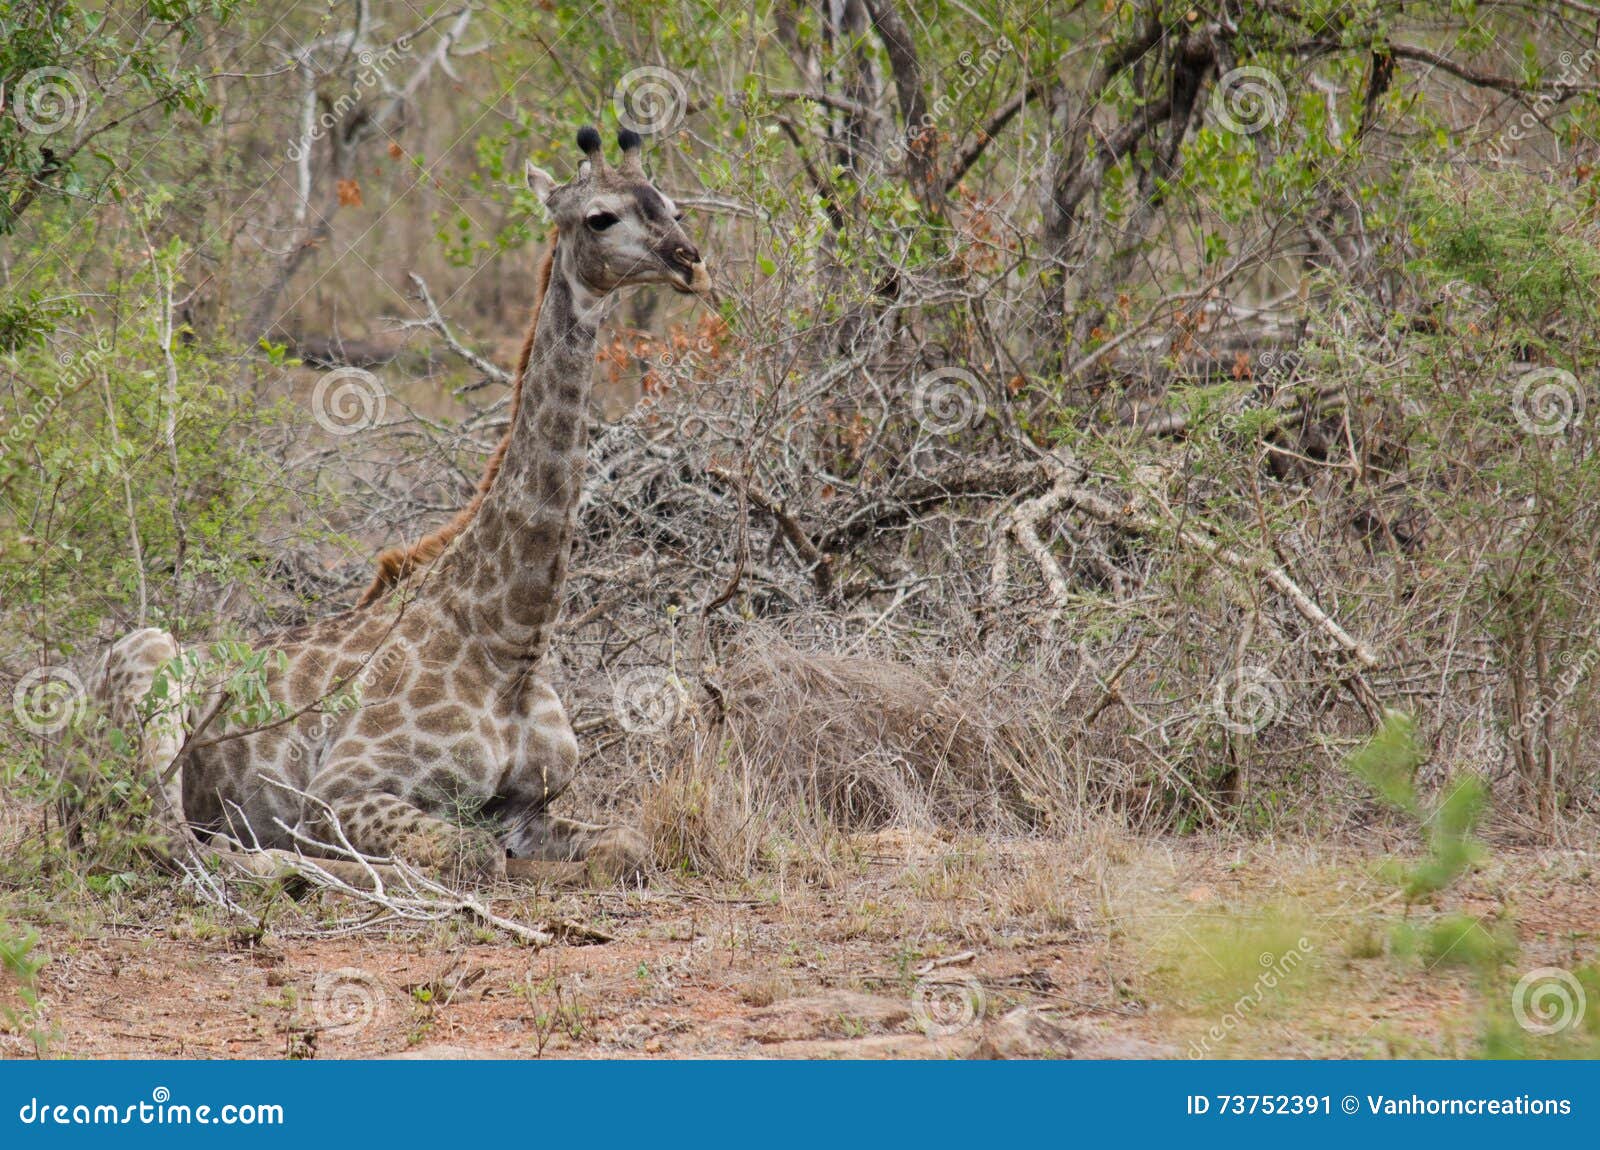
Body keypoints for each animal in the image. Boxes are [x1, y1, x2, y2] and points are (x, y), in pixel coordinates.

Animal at [97, 126, 709, 880]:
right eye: (601, 218)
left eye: (673, 207)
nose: (690, 262)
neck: (510, 644)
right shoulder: (337, 793)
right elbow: (469, 854)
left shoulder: (531, 808)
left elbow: (627, 842)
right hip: (147, 672)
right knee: (170, 839)